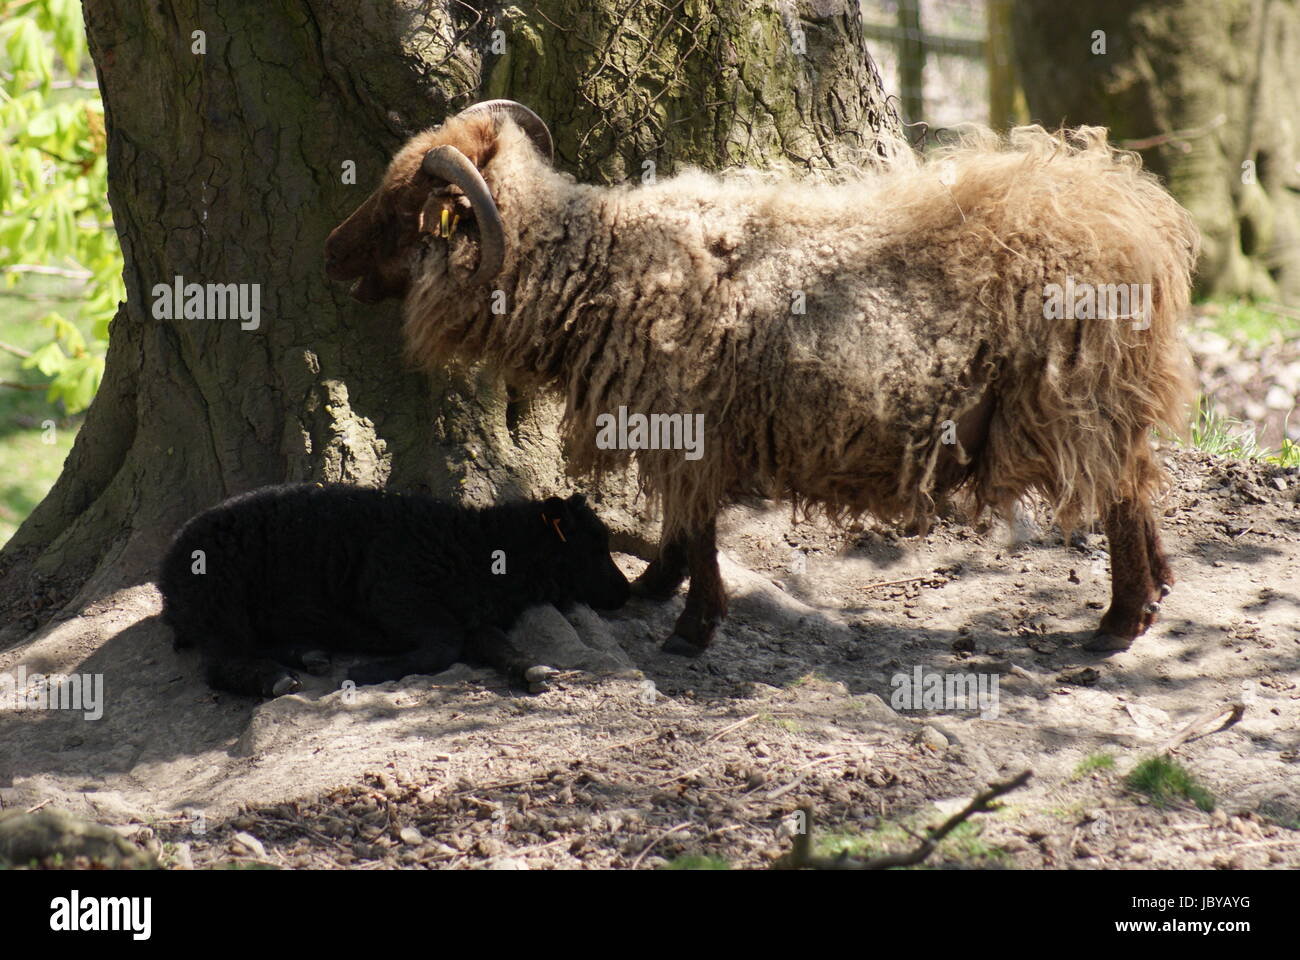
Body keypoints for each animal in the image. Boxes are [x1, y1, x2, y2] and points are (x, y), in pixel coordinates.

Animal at [159, 483, 630, 697]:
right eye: (593, 544)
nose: (626, 592)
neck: (476, 545)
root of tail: (166, 570)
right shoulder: (395, 594)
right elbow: (444, 648)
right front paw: (368, 673)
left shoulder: (469, 617)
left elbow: (496, 646)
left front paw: (531, 669)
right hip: (219, 602)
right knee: (221, 662)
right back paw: (276, 679)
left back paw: (307, 655)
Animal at [325, 100, 1198, 658]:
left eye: (402, 207)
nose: (330, 253)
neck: (603, 268)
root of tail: (1129, 209)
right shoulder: (682, 426)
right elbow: (682, 524)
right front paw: (654, 590)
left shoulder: (687, 423)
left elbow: (698, 526)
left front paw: (689, 630)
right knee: (1138, 482)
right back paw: (1155, 592)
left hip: (1074, 392)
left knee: (1119, 494)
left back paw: (1118, 622)